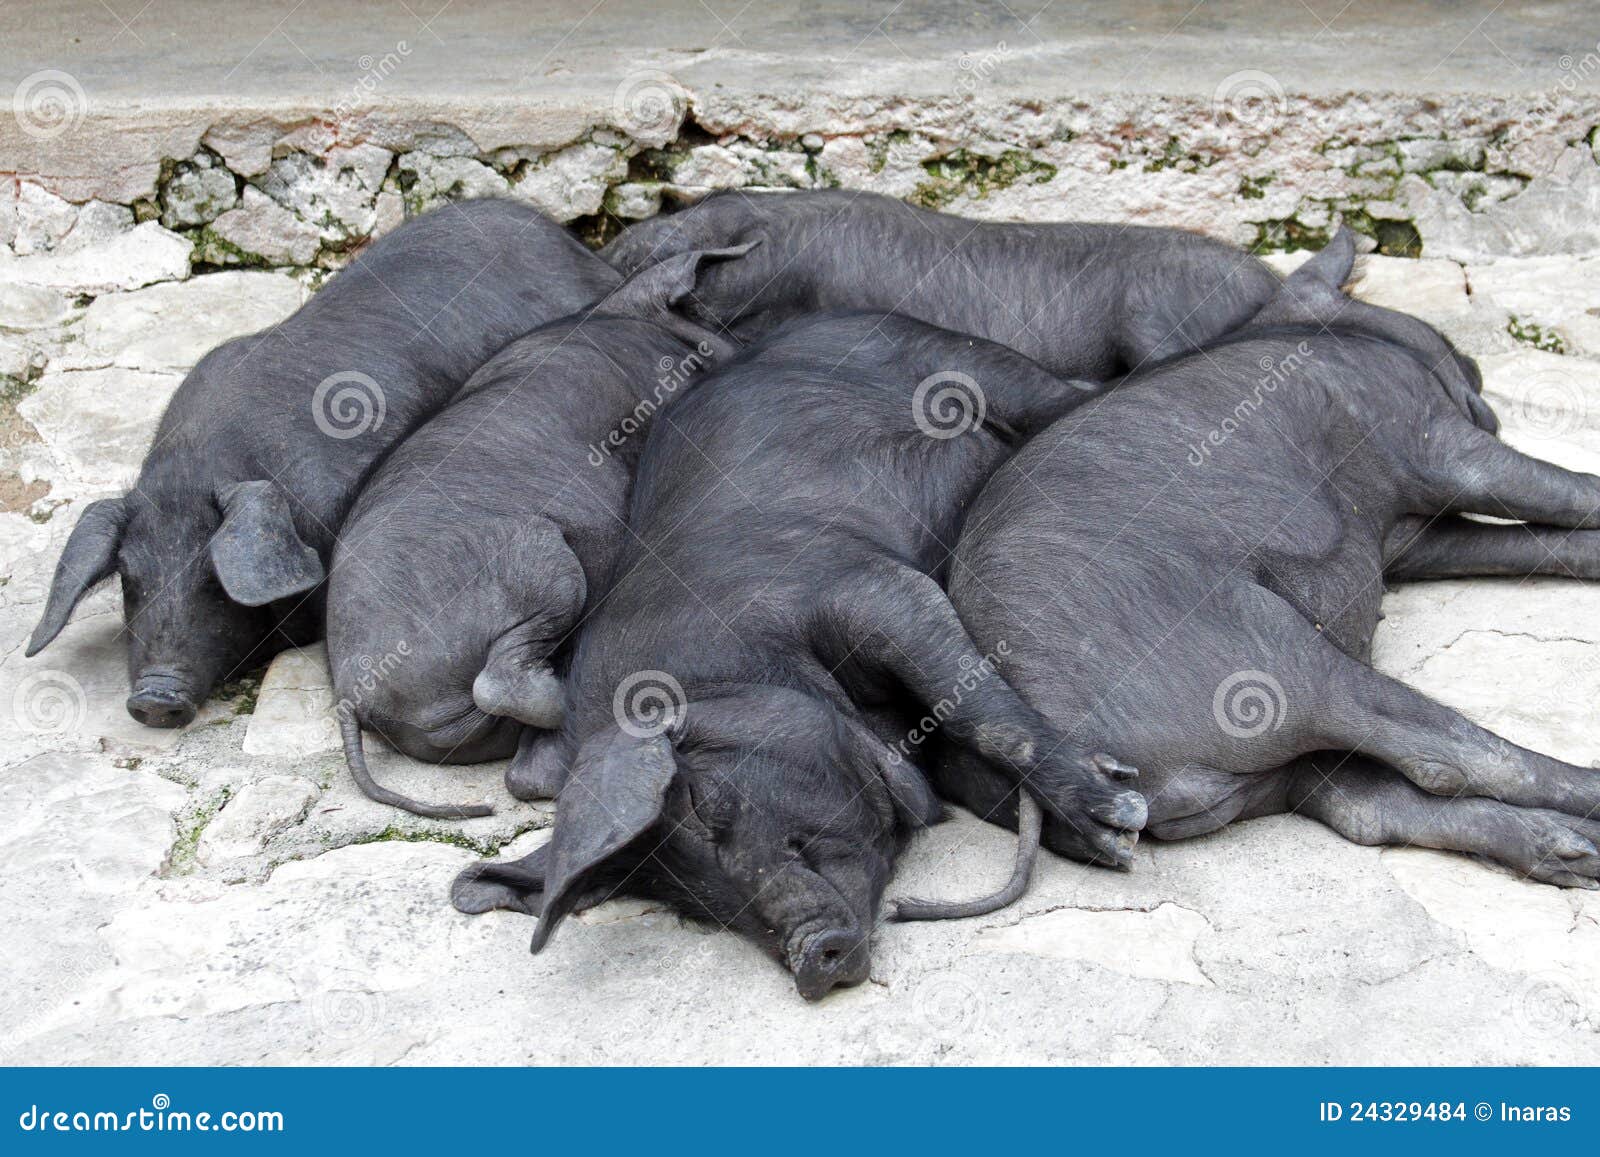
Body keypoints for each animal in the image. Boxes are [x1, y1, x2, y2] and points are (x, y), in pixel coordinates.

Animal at [326, 245, 753, 819]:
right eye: (705, 316)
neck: (622, 318)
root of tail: (356, 691)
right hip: (539, 562)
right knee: (499, 680)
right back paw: (565, 692)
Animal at [451, 311, 1145, 1000]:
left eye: (701, 804)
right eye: (684, 904)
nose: (810, 955)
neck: (724, 673)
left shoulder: (861, 588)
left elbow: (978, 710)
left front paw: (1120, 820)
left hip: (958, 358)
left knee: (1062, 392)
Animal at [934, 229, 1600, 894]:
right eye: (1437, 337)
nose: (1478, 372)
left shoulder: (1411, 538)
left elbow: (1531, 541)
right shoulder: (1432, 440)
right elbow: (1574, 489)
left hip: (1274, 769)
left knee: (1366, 805)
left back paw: (1575, 853)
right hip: (1265, 656)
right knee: (1440, 751)